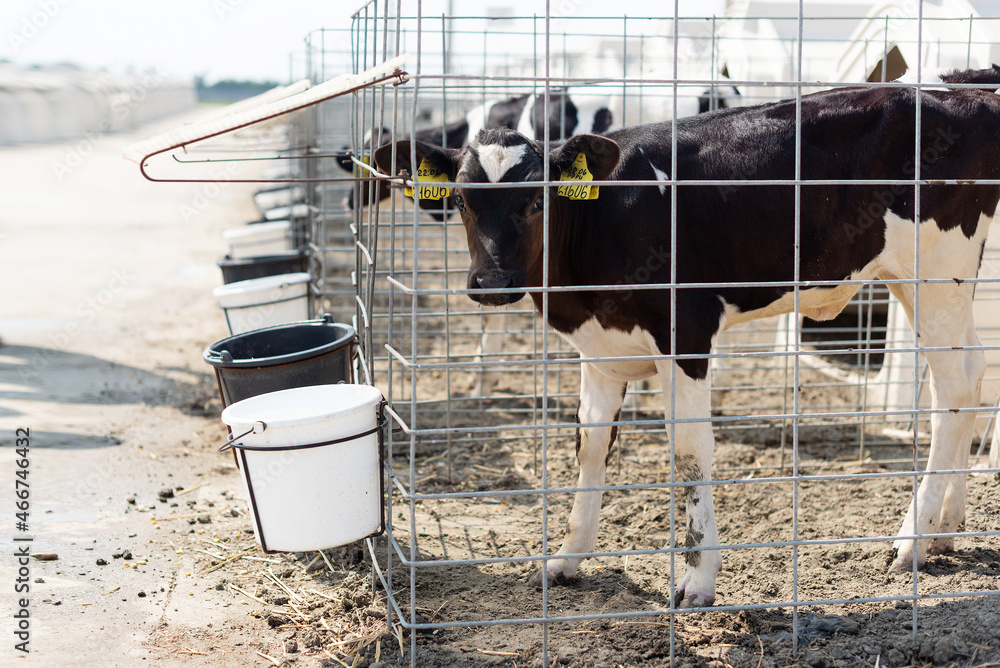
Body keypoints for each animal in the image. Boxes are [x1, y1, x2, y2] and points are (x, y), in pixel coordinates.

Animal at [375, 65, 1000, 608]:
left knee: (952, 391)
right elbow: (590, 447)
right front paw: (565, 559)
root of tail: (960, 91)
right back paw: (946, 528)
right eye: (460, 200)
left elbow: (690, 454)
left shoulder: (686, 331)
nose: (493, 283)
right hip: (942, 282)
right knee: (972, 376)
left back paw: (912, 540)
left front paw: (698, 581)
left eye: (536, 200)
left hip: (935, 271)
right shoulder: (600, 351)